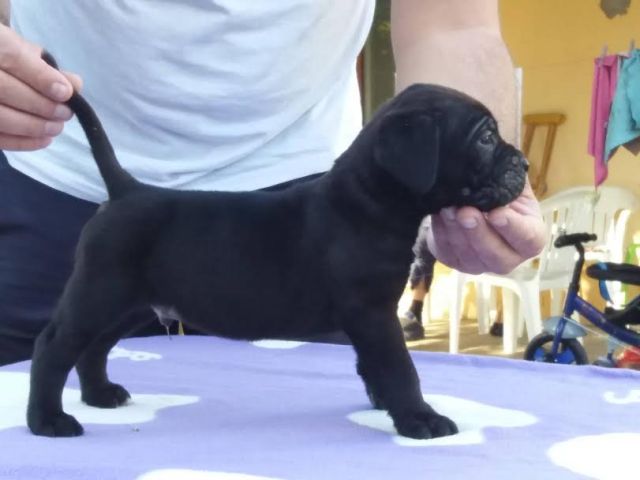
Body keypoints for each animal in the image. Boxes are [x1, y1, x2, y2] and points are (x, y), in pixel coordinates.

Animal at [27, 51, 528, 438]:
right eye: (485, 137)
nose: (522, 163)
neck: (368, 200)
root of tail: (125, 189)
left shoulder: (371, 318)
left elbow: (376, 367)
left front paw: (387, 405)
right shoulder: (372, 312)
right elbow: (401, 368)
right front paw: (419, 418)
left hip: (129, 302)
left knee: (94, 347)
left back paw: (99, 395)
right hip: (100, 292)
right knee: (53, 346)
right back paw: (48, 420)